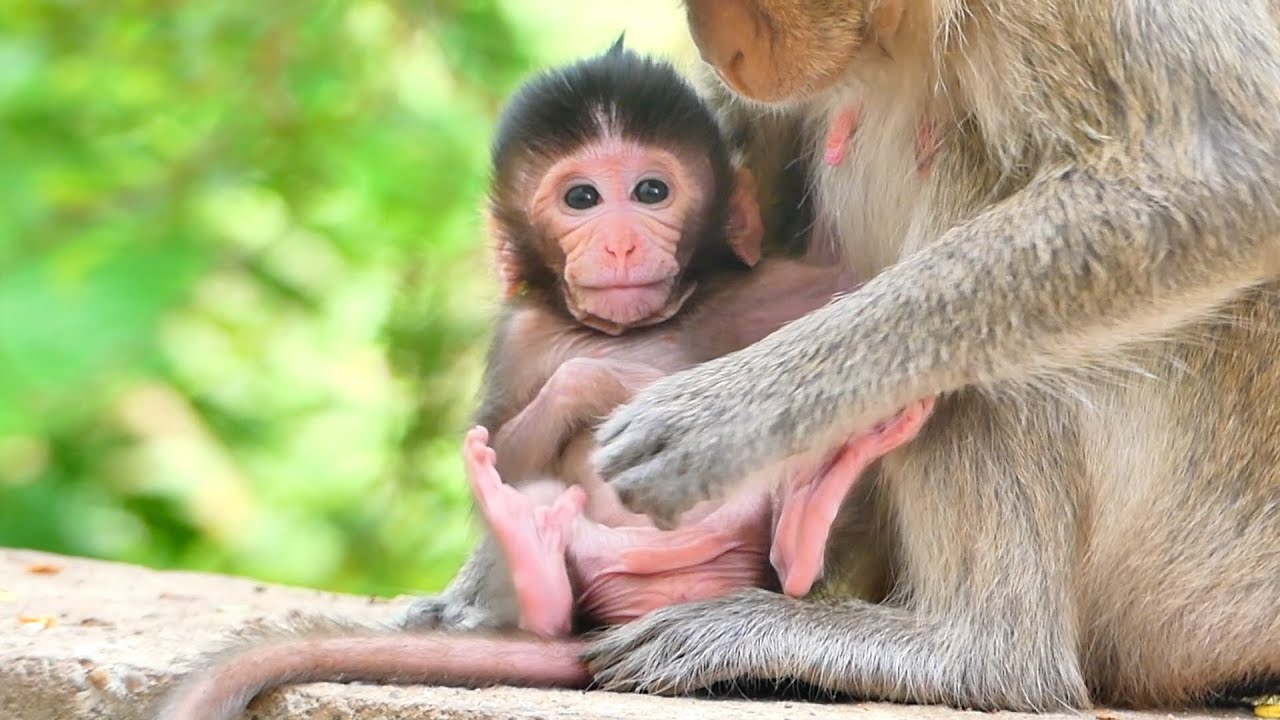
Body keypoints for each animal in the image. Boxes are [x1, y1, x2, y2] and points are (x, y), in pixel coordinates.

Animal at [151, 40, 936, 720]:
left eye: (651, 190)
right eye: (581, 199)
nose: (619, 243)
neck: (638, 324)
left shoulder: (760, 291)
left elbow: (846, 284)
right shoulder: (522, 336)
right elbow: (501, 440)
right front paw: (599, 379)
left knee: (786, 545)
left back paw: (812, 502)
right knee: (548, 565)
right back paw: (529, 549)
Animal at [580, 0, 1280, 711]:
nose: (718, 47)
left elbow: (1229, 176)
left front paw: (720, 419)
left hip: (1206, 542)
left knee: (979, 174)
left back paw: (976, 650)